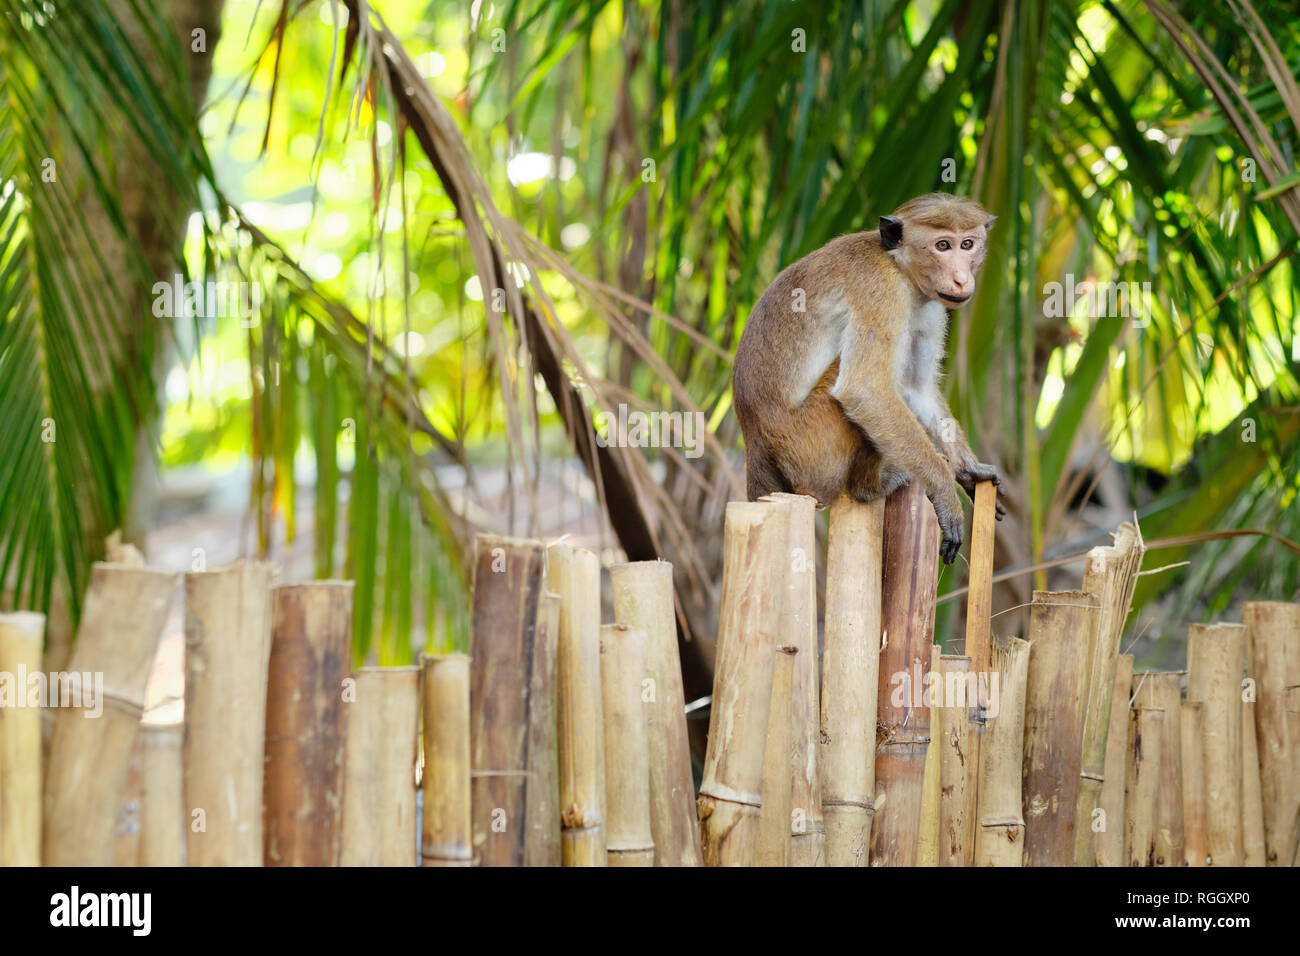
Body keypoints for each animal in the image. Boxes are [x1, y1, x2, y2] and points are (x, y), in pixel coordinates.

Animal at [732, 192, 1005, 565]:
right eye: (942, 245)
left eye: (967, 244)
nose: (962, 278)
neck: (900, 268)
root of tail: (754, 440)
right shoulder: (881, 290)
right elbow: (864, 390)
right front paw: (944, 490)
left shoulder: (930, 305)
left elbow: (918, 389)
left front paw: (969, 469)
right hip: (812, 444)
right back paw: (869, 486)